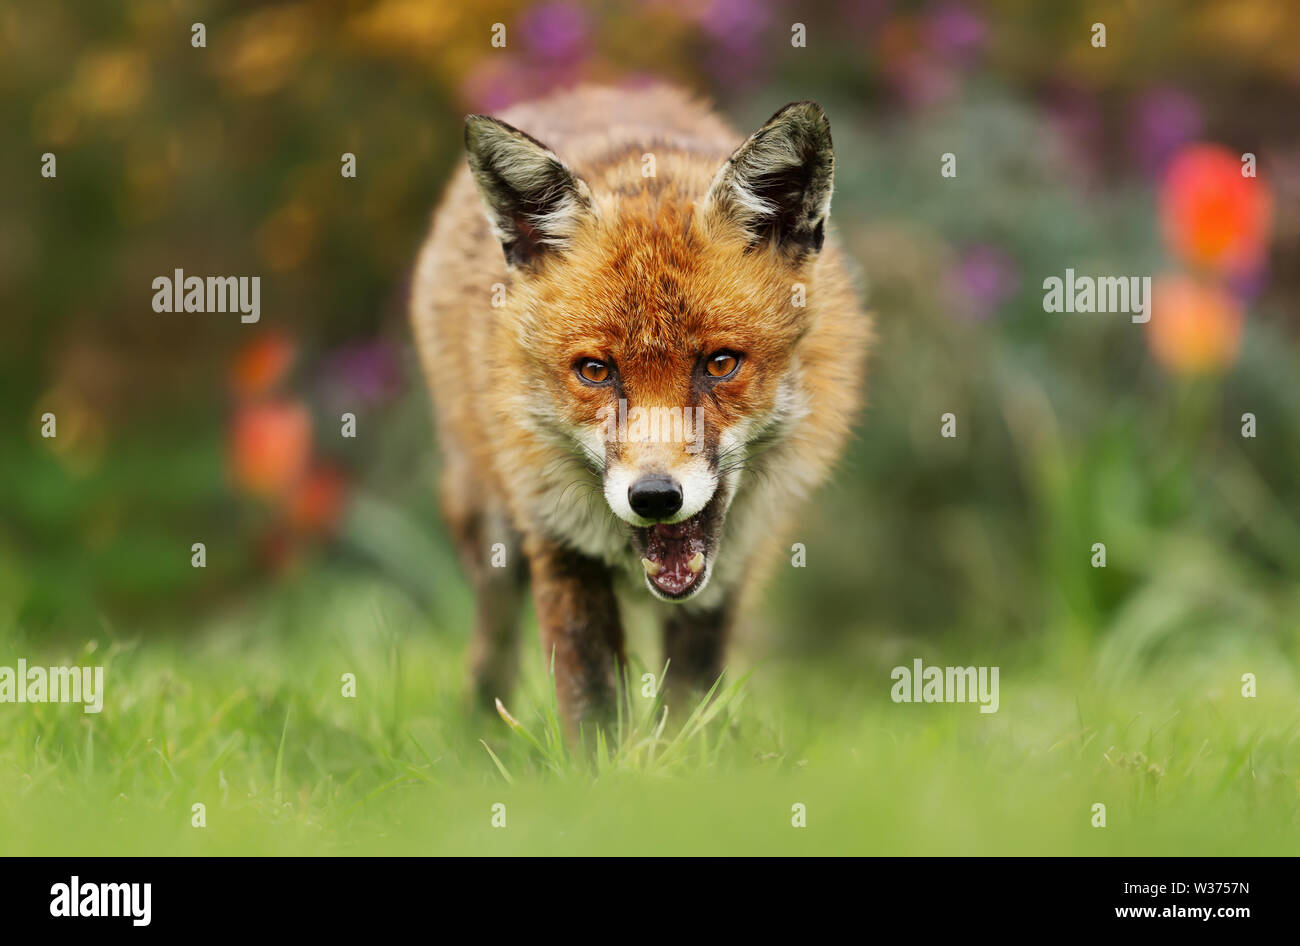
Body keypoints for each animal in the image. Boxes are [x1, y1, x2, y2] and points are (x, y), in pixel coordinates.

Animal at [410, 84, 871, 735]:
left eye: (720, 363)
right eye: (595, 371)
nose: (654, 497)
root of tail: (595, 88)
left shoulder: (727, 572)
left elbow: (689, 701)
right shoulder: (556, 538)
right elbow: (591, 698)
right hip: (488, 523)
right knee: (491, 639)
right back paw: (482, 733)